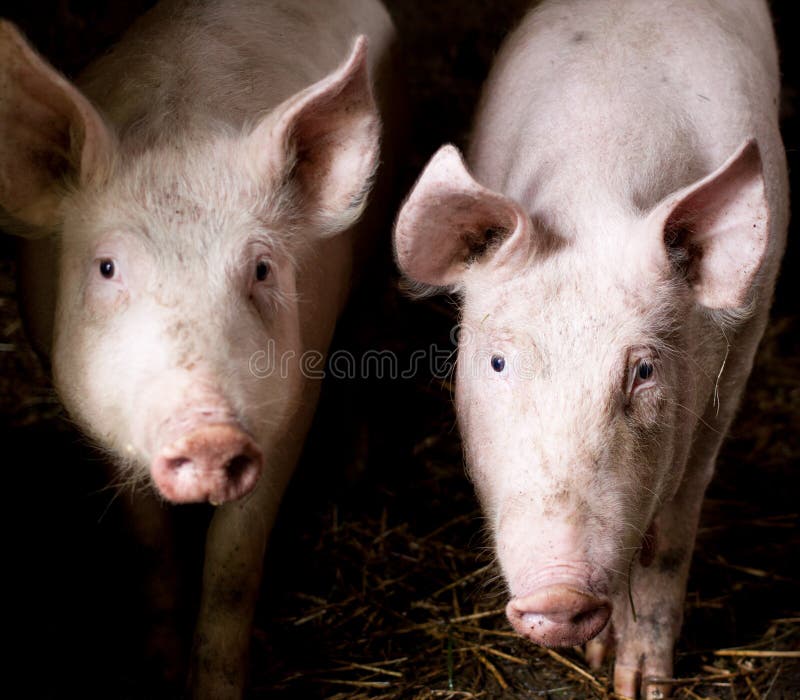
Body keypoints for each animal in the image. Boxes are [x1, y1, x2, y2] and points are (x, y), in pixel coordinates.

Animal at [0, 0, 395, 696]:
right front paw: (158, 671)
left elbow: (233, 565)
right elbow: (149, 546)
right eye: (106, 267)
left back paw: (353, 472)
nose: (209, 431)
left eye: (262, 269)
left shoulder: (293, 406)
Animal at [393, 1, 787, 697]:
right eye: (498, 362)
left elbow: (670, 538)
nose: (559, 597)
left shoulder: (742, 352)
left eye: (644, 370)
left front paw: (640, 685)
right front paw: (600, 657)